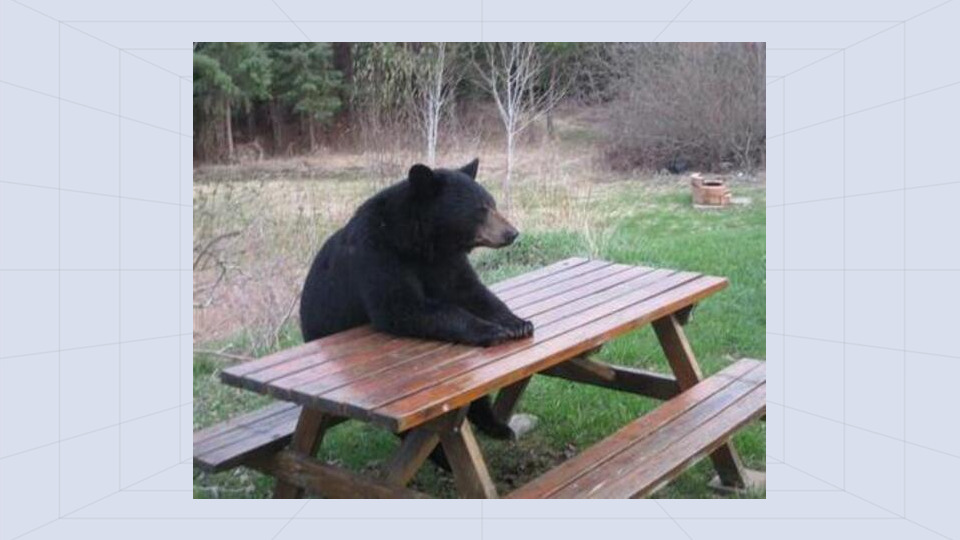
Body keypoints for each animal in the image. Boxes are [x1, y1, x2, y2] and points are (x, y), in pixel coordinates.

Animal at [299, 158, 534, 443]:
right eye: (480, 209)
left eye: (492, 203)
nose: (512, 233)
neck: (421, 242)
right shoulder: (376, 254)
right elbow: (402, 307)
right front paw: (492, 330)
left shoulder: (445, 260)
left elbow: (470, 291)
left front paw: (517, 323)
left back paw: (496, 425)